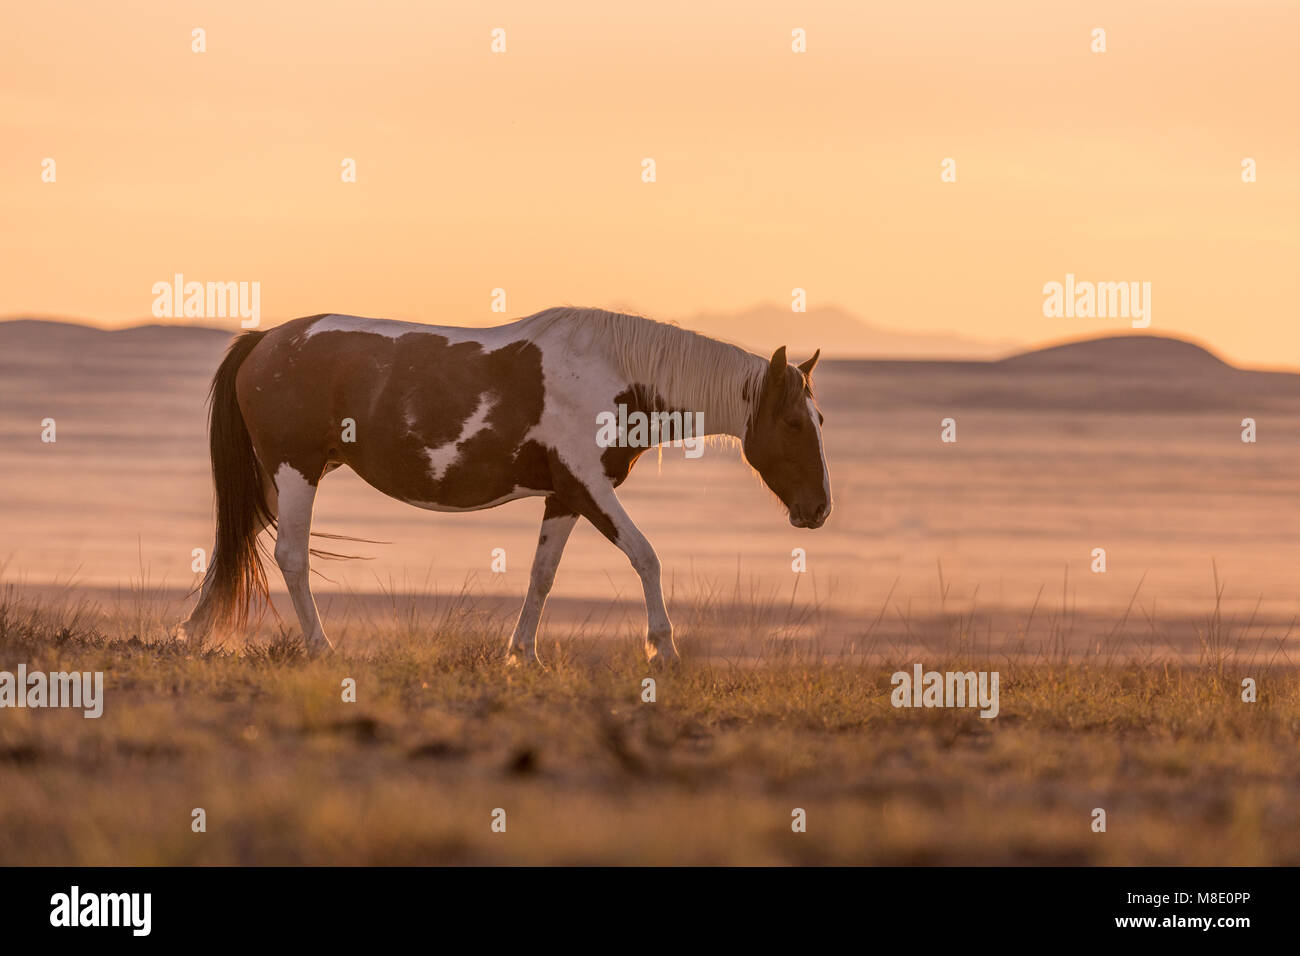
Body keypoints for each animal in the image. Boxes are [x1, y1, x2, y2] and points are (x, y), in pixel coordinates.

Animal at [179, 307, 831, 663]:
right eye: (795, 423)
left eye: (819, 419)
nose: (818, 510)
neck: (615, 375)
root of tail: (265, 340)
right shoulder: (590, 488)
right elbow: (647, 557)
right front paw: (662, 649)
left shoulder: (567, 496)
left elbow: (543, 575)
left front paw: (522, 654)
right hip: (296, 470)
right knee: (290, 556)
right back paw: (319, 648)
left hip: (278, 476)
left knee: (237, 543)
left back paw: (194, 632)